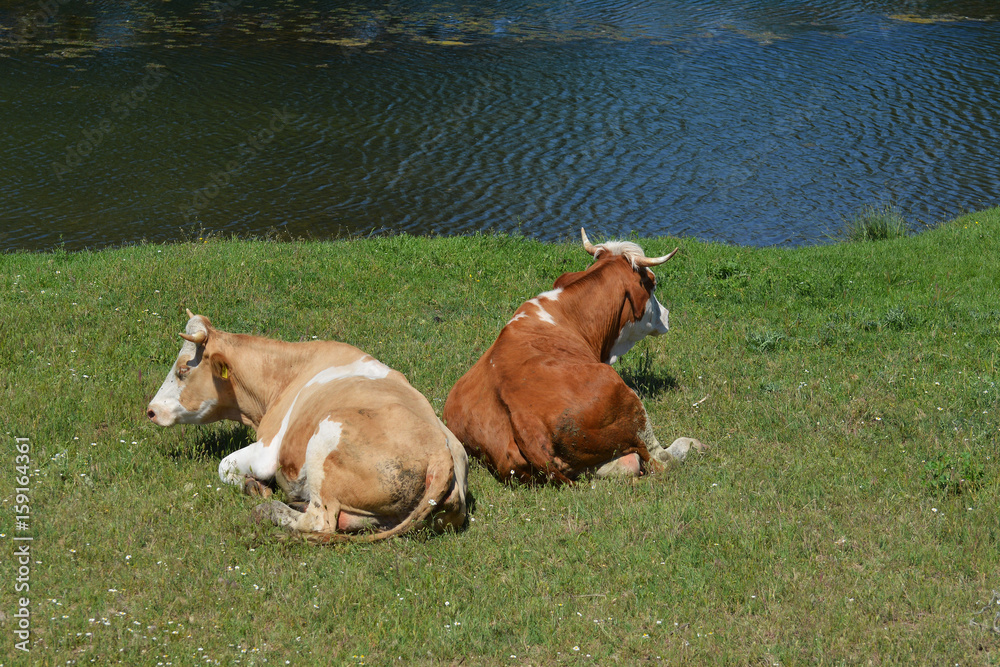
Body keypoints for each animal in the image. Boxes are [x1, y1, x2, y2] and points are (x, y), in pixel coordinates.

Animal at [147, 311, 468, 542]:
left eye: (183, 369)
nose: (151, 410)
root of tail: (441, 453)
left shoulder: (267, 450)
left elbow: (224, 466)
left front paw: (254, 488)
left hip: (325, 440)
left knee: (319, 522)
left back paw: (271, 510)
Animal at [443, 229, 704, 486]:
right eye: (653, 283)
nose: (667, 314)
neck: (568, 314)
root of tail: (523, 420)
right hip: (629, 403)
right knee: (661, 461)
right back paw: (694, 444)